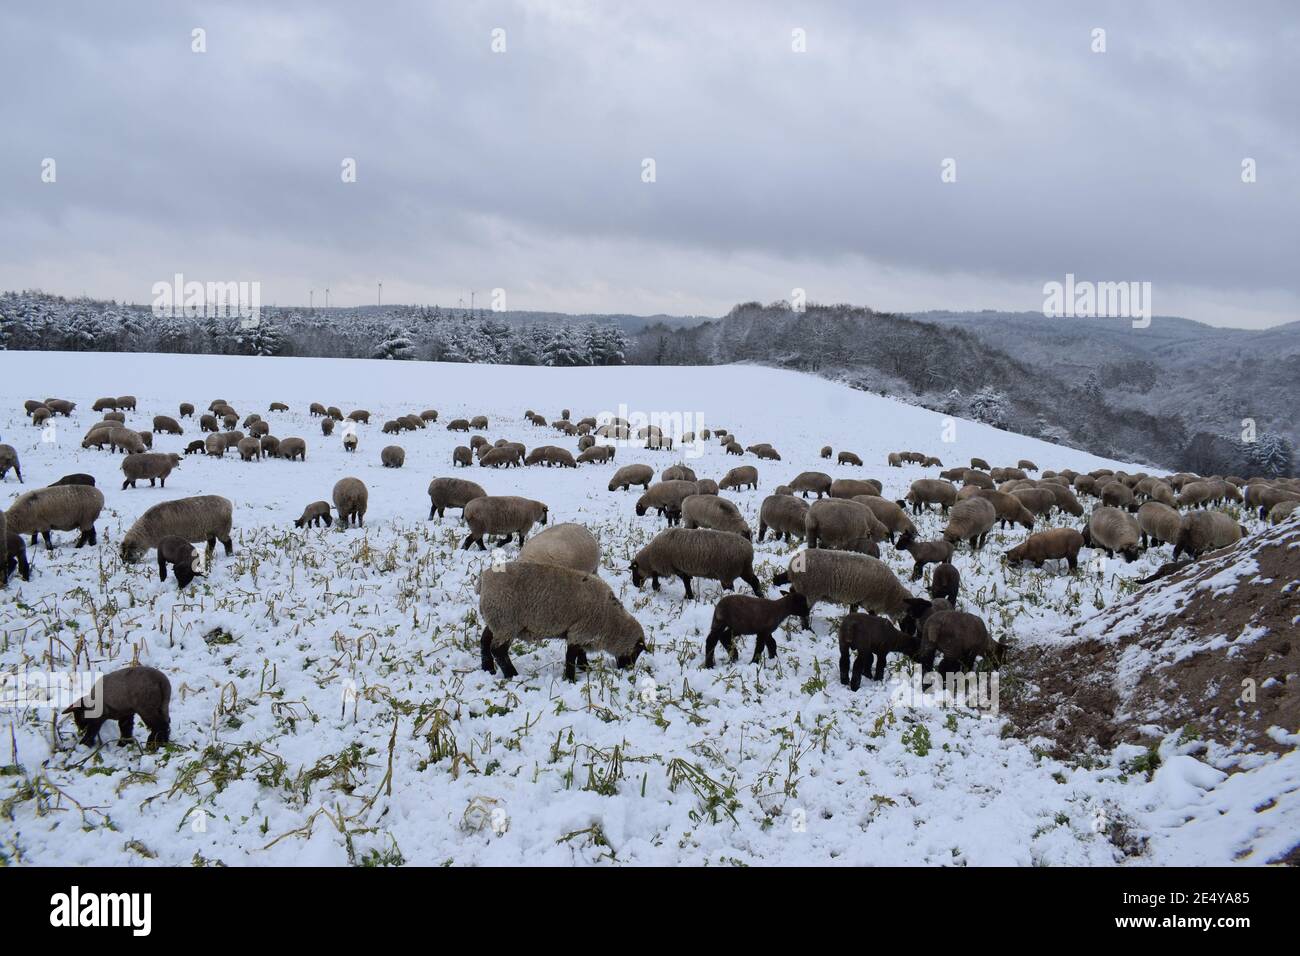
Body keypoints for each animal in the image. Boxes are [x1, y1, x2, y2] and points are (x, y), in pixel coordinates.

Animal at [478, 561, 644, 681]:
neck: (611, 621)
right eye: (636, 651)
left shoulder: (581, 633)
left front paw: (585, 668)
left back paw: (488, 669)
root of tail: (483, 581)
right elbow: (571, 656)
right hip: (506, 622)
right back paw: (512, 675)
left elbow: (580, 653)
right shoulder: (580, 631)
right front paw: (571, 679)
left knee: (485, 640)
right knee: (498, 650)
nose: (628, 670)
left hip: (496, 621)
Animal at [630, 527, 763, 599]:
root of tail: (749, 551)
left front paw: (688, 596)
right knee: (755, 581)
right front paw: (688, 596)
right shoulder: (680, 568)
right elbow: (685, 582)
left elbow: (682, 582)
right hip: (744, 569)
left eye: (633, 569)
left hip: (727, 573)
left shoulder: (672, 567)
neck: (650, 557)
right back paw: (760, 596)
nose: (635, 584)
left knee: (731, 588)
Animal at [772, 549, 915, 626]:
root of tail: (792, 567)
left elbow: (853, 612)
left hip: (801, 587)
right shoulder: (871, 603)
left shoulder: (858, 600)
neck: (891, 594)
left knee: (786, 587)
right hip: (809, 591)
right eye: (911, 618)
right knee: (803, 612)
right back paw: (808, 630)